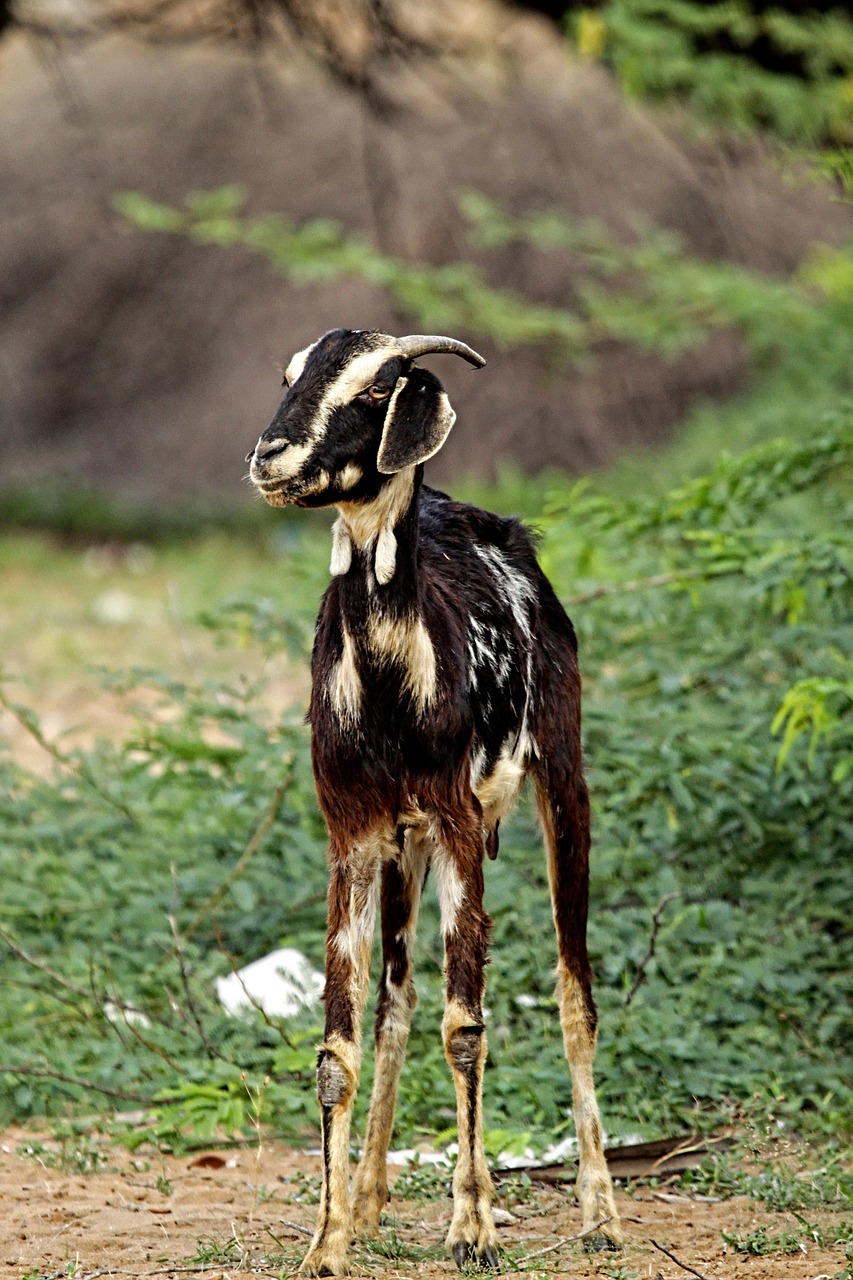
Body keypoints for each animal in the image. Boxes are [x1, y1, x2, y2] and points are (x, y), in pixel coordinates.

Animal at [246, 328, 621, 1275]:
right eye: (290, 376)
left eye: (376, 390)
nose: (269, 456)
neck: (389, 690)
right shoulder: (353, 833)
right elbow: (340, 1045)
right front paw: (328, 1241)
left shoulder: (457, 821)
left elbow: (468, 1026)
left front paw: (473, 1227)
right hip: (404, 846)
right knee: (396, 998)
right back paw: (372, 1198)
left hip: (559, 779)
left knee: (573, 989)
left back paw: (600, 1210)